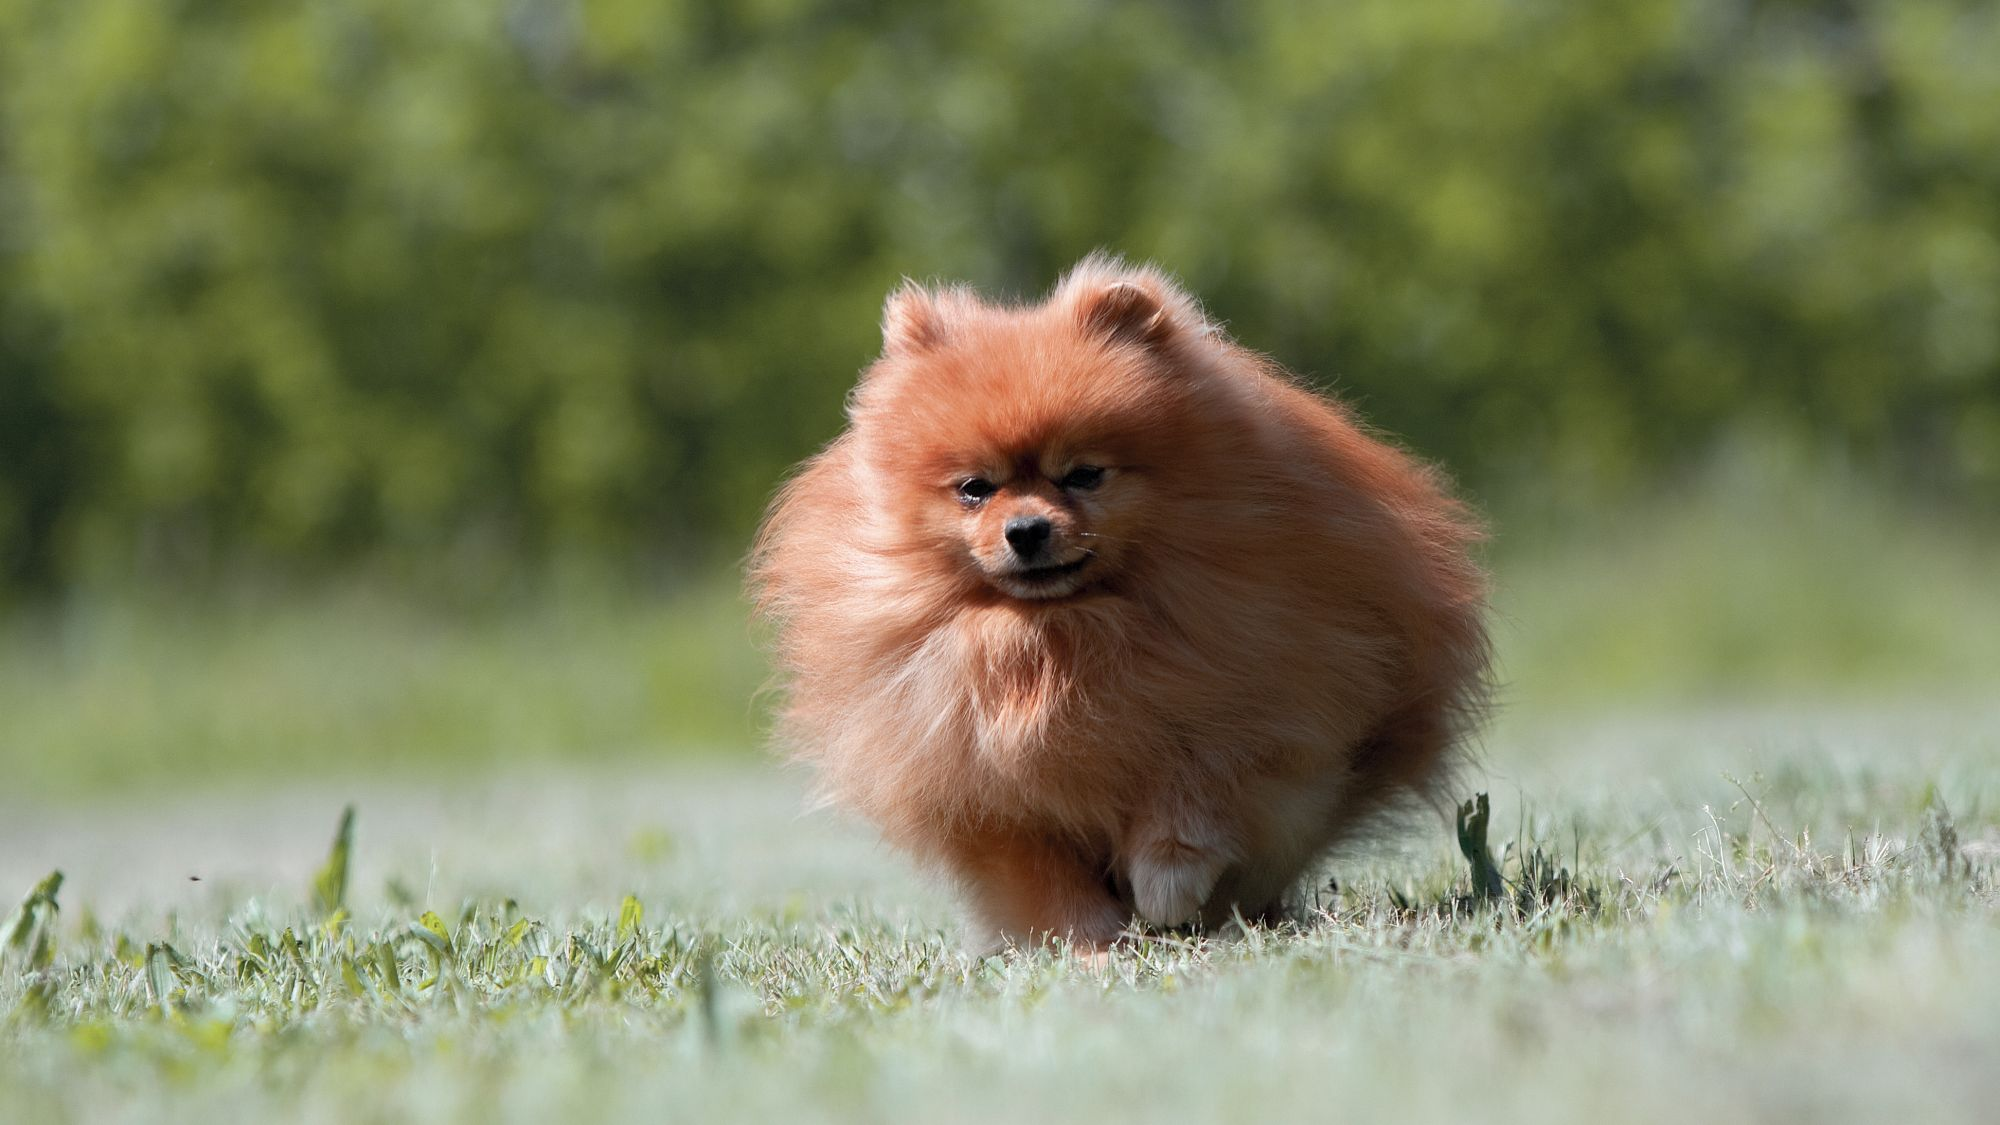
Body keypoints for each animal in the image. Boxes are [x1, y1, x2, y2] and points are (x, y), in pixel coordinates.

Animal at [756, 256, 1496, 944]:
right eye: (975, 489)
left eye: (1084, 474)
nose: (1026, 529)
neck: (1062, 638)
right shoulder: (983, 791)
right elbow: (1043, 877)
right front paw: (1089, 943)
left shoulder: (1262, 708)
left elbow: (1196, 791)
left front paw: (1168, 879)